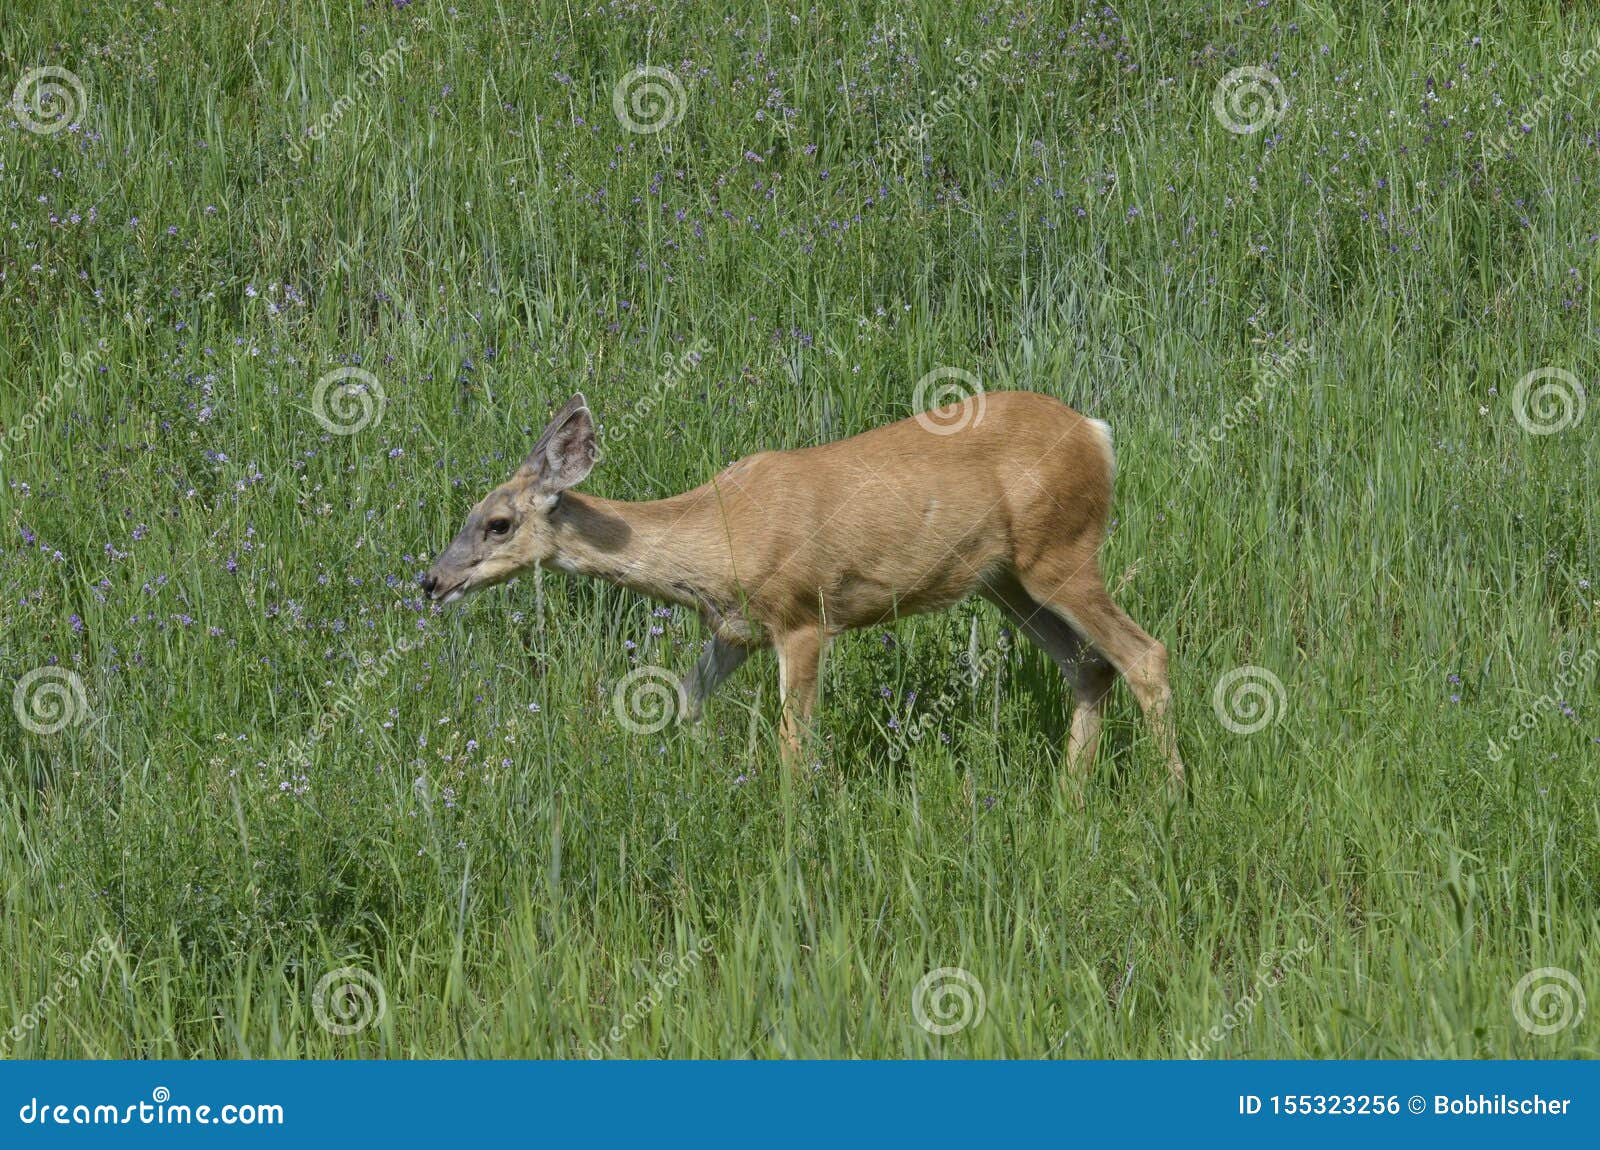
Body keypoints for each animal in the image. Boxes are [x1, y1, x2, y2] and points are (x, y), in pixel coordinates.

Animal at [421, 390, 1184, 802]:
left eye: (497, 522)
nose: (431, 580)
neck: (720, 531)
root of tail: (1097, 435)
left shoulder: (803, 615)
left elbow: (795, 741)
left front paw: (793, 827)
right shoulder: (736, 629)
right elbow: (684, 701)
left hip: (1061, 552)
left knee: (1144, 654)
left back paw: (1170, 794)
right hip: (1007, 581)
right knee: (1090, 666)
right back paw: (1070, 796)